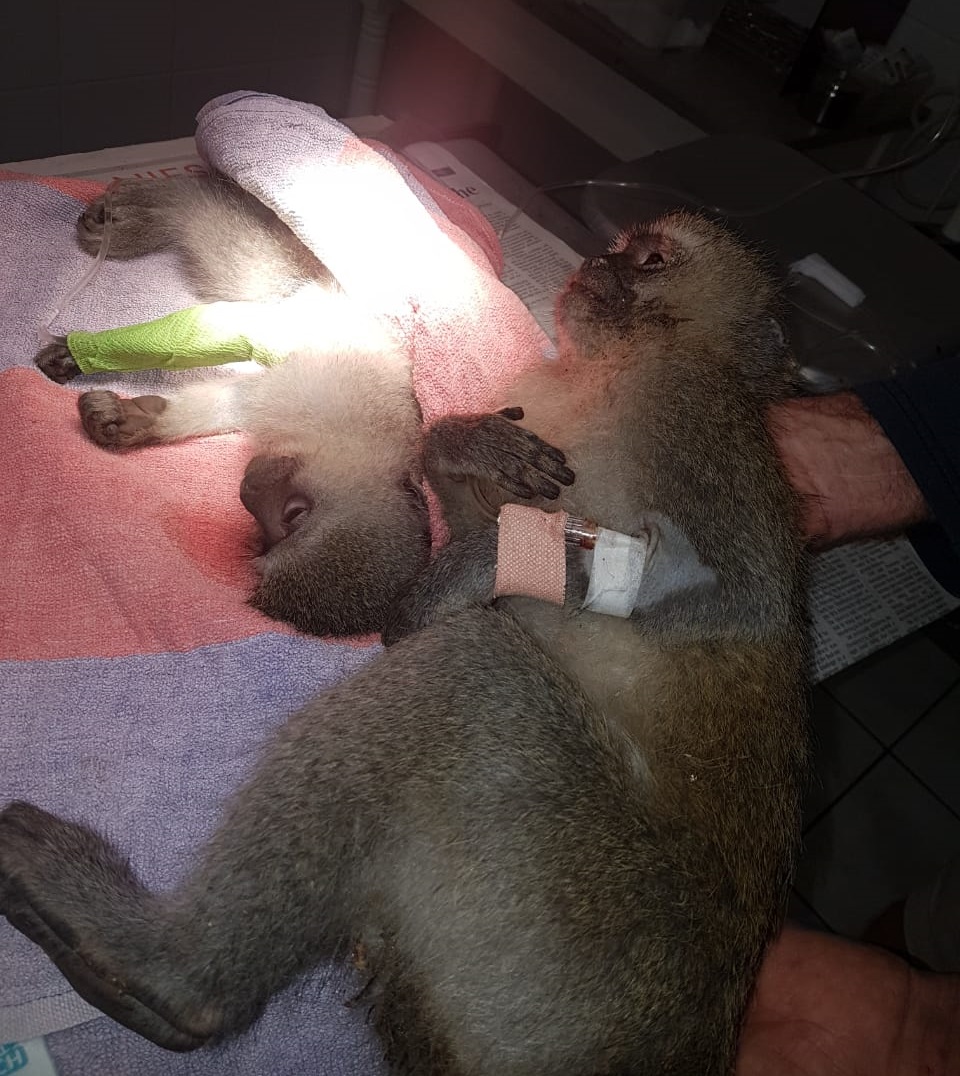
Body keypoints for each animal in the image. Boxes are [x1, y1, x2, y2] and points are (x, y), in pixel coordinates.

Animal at [2, 211, 809, 1074]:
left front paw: (515, 555)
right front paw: (462, 449)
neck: (621, 362)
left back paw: (172, 971)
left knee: (474, 670)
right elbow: (469, 535)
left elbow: (732, 596)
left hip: (591, 910)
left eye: (651, 259)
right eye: (620, 247)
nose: (597, 261)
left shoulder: (698, 420)